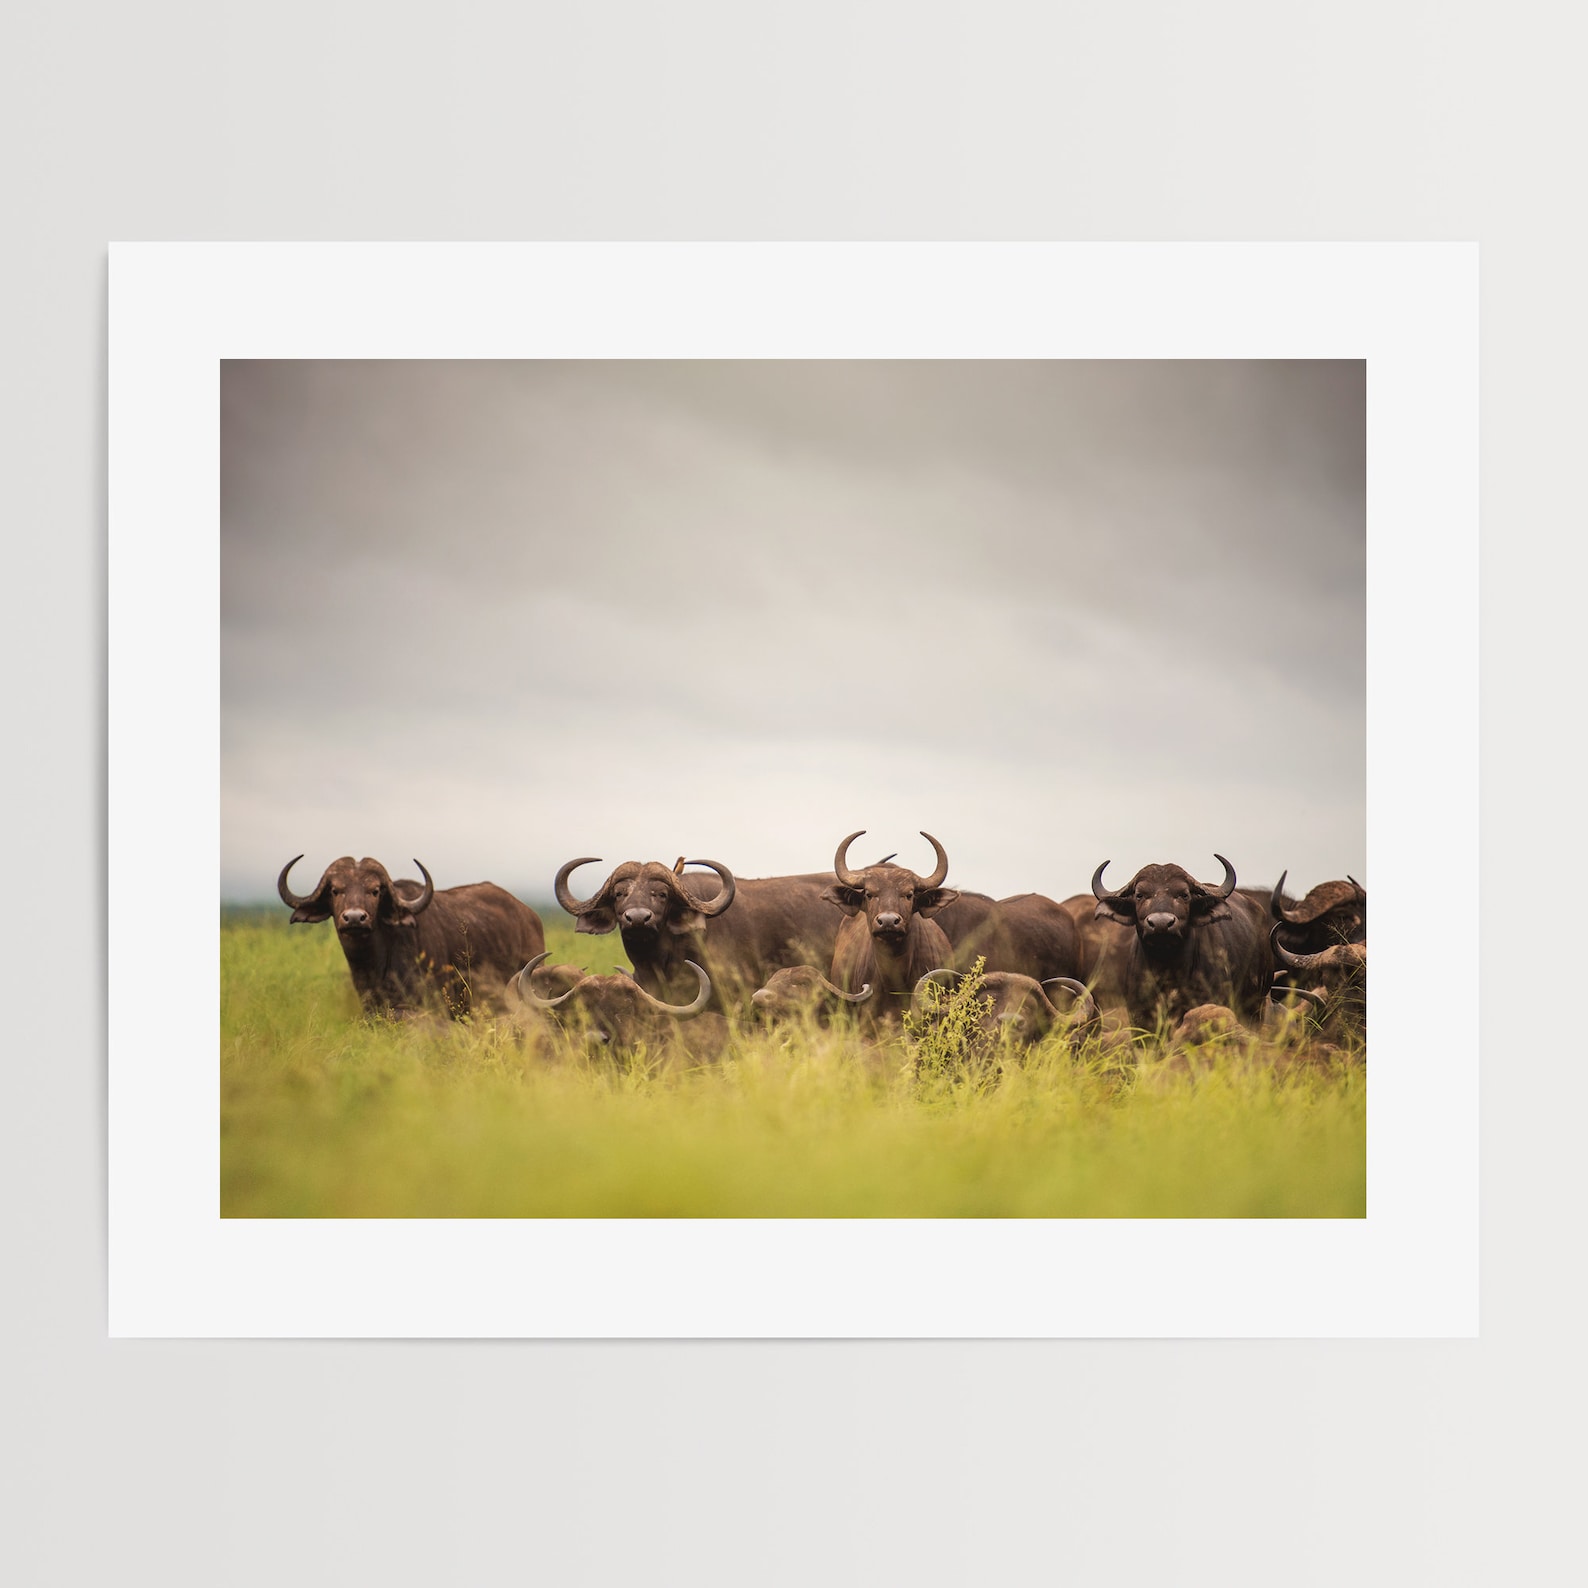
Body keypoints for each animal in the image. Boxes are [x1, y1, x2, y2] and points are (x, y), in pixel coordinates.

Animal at [1090, 855, 1273, 1029]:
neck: (1167, 969)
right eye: (1139, 895)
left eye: (1184, 894)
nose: (1161, 923)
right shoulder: (1139, 1015)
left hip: (1257, 1004)